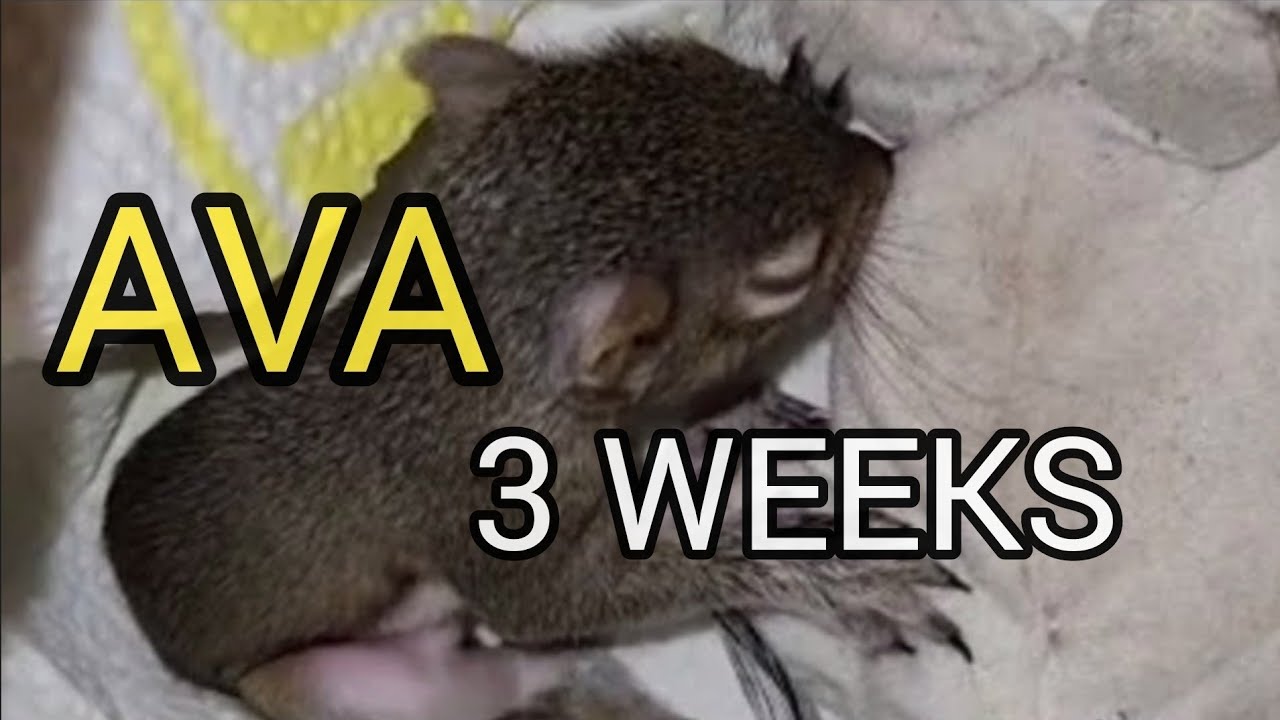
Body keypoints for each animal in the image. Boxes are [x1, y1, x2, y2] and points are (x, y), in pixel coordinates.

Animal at [103, 35, 966, 720]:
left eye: (720, 67)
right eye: (787, 269)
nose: (881, 161)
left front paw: (736, 414)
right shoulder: (487, 509)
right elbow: (563, 595)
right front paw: (843, 577)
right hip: (333, 682)